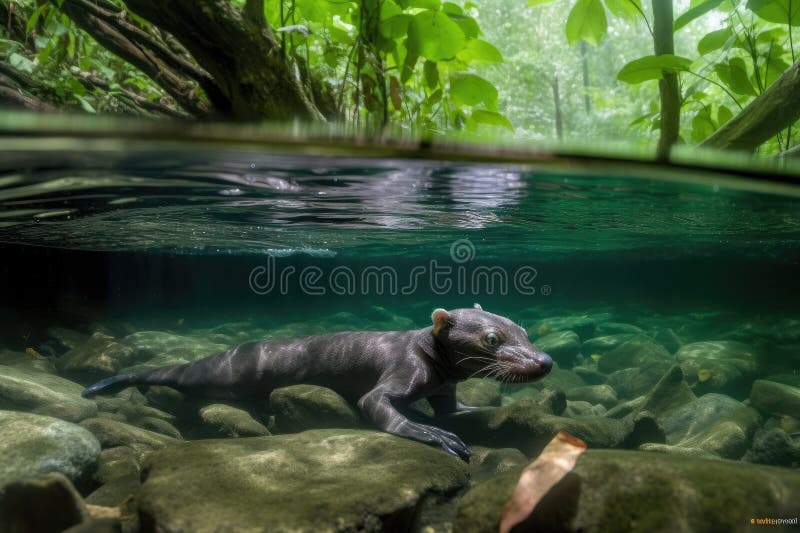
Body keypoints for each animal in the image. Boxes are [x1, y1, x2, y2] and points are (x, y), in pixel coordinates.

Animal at [82, 305, 552, 460]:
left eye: (522, 329)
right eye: (492, 339)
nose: (545, 360)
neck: (427, 355)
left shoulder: (442, 387)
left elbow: (453, 408)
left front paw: (478, 411)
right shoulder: (403, 373)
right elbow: (376, 404)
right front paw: (435, 434)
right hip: (220, 375)